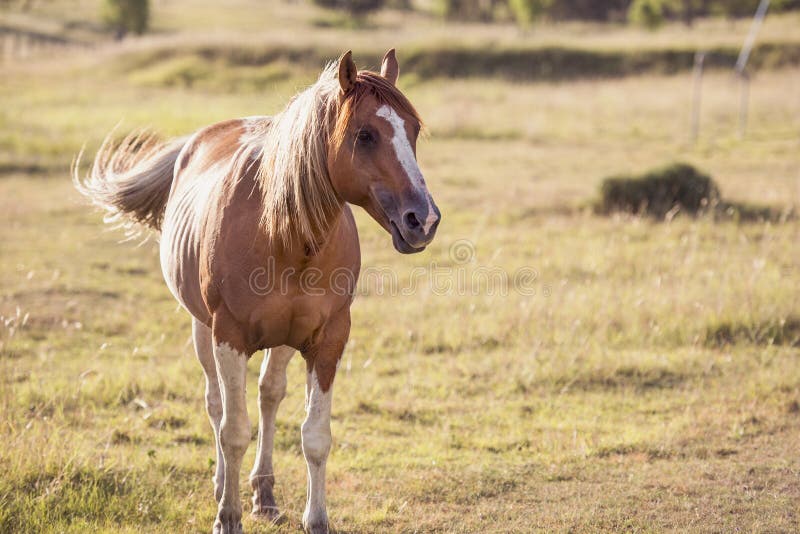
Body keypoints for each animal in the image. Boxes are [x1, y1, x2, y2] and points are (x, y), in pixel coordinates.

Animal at [74, 49, 440, 534]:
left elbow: (314, 435)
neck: (283, 235)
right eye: (365, 135)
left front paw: (316, 519)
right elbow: (233, 430)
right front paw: (226, 517)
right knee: (216, 405)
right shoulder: (227, 335)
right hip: (201, 328)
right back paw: (221, 487)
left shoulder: (329, 338)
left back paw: (264, 494)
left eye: (413, 130)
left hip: (283, 338)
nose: (424, 219)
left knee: (269, 395)